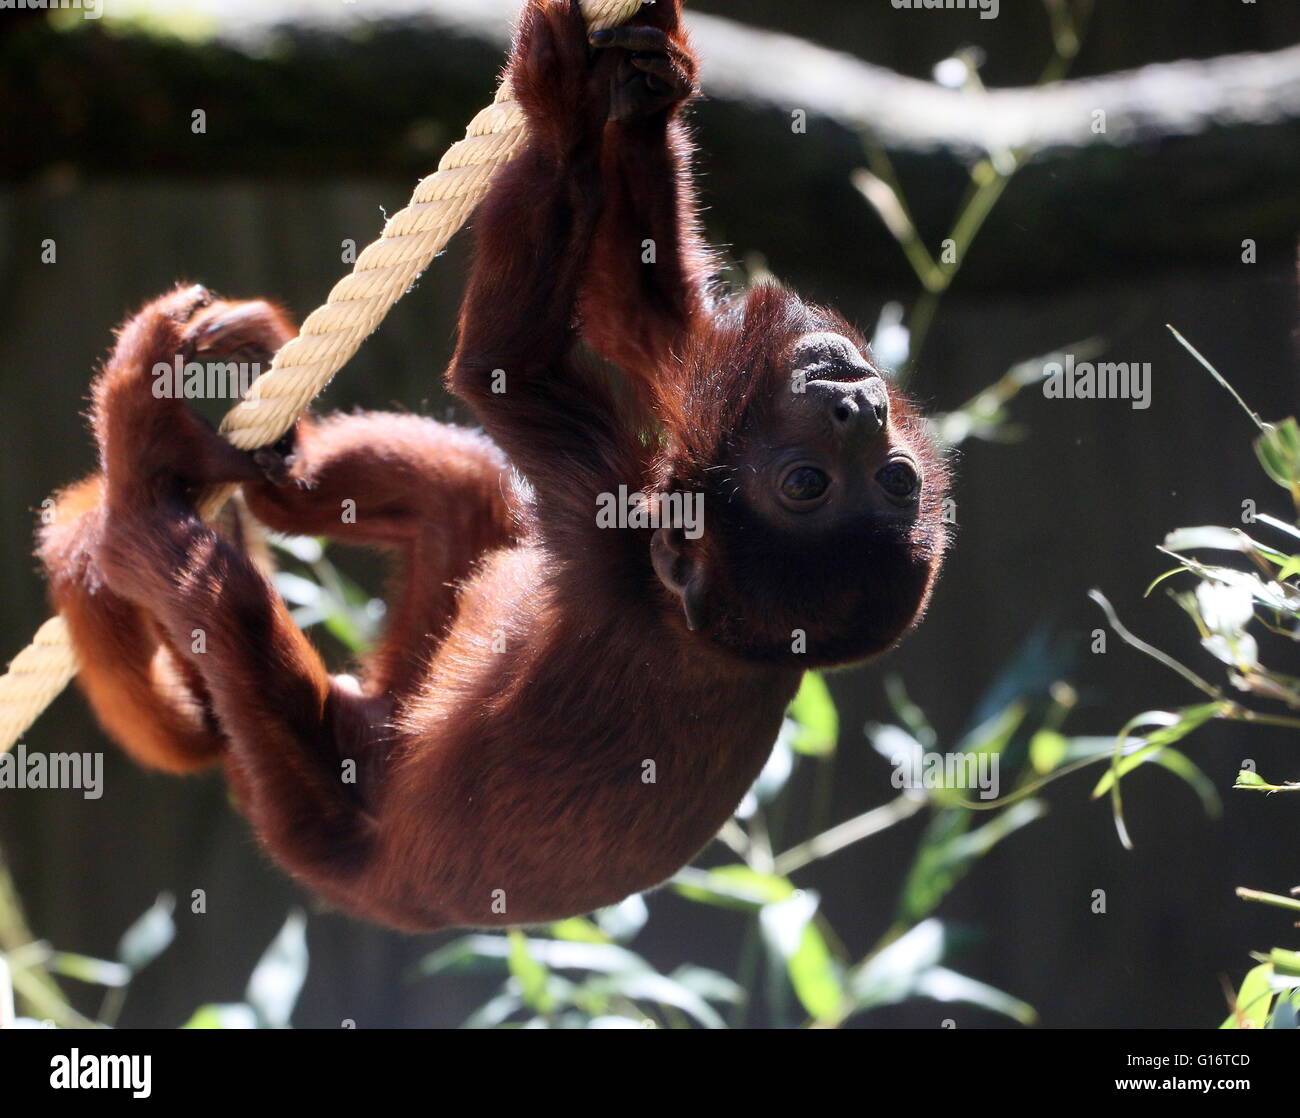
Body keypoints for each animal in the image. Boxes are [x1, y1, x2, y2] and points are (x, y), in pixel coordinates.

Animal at [37, 0, 948, 931]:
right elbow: (640, 316)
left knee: (223, 609)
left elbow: (499, 365)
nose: (858, 409)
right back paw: (274, 466)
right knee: (462, 485)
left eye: (805, 485)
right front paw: (648, 86)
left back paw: (140, 478)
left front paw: (561, 106)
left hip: (315, 804)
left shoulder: (608, 523)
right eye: (893, 480)